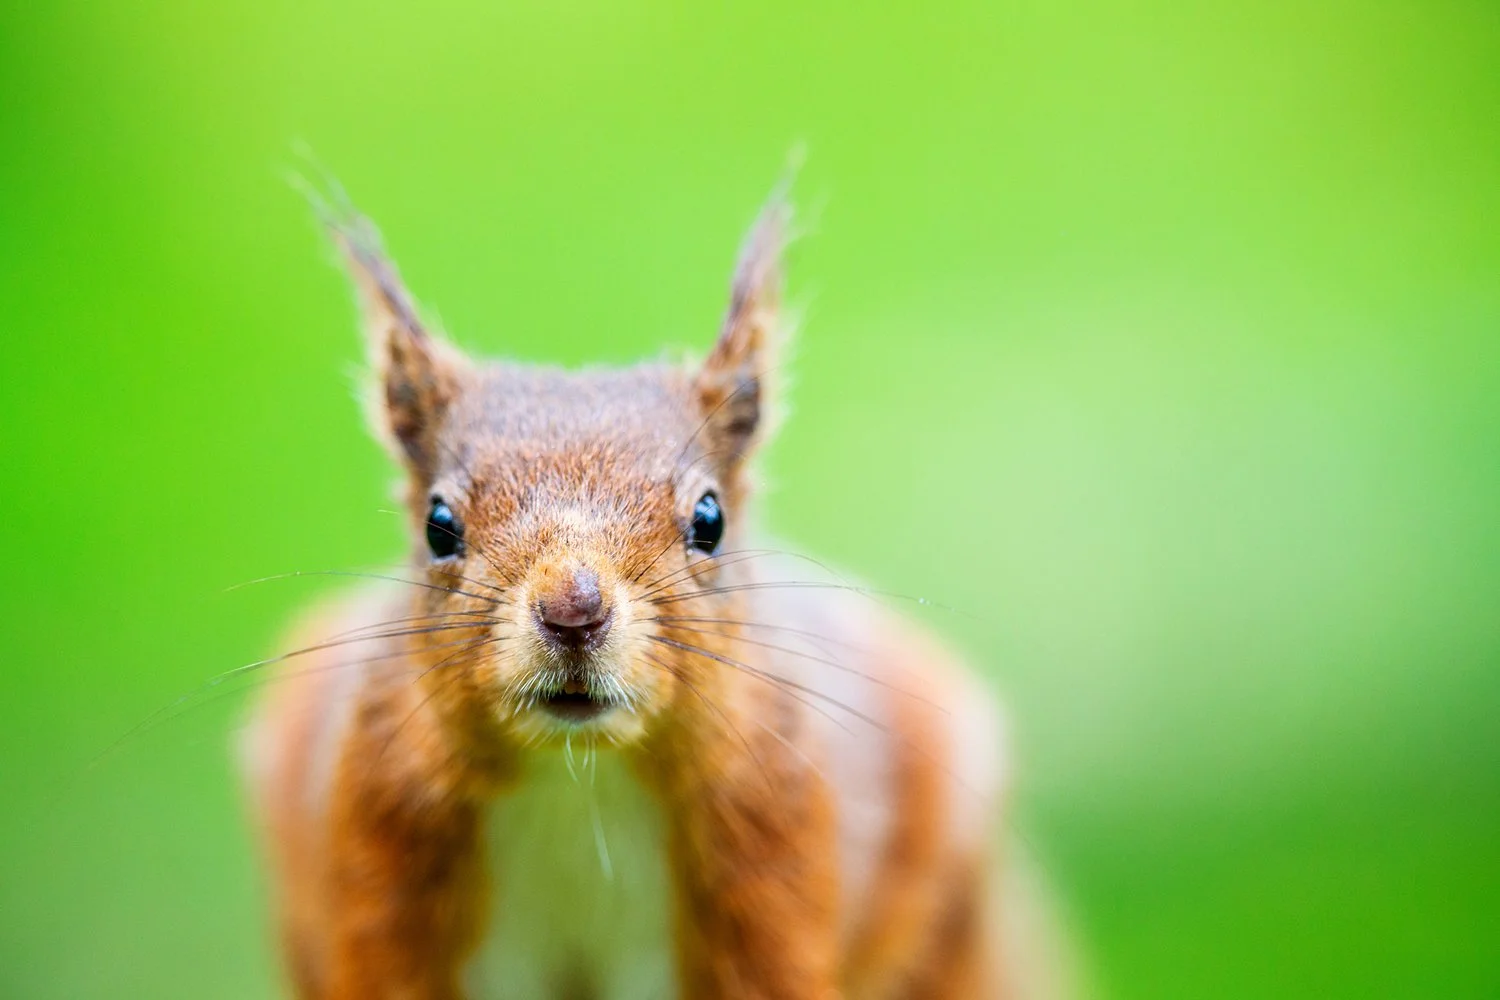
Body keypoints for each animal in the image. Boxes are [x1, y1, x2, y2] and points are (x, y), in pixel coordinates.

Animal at [238, 181, 1068, 1000]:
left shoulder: (774, 848)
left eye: (710, 518)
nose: (573, 608)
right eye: (439, 525)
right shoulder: (379, 849)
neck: (578, 780)